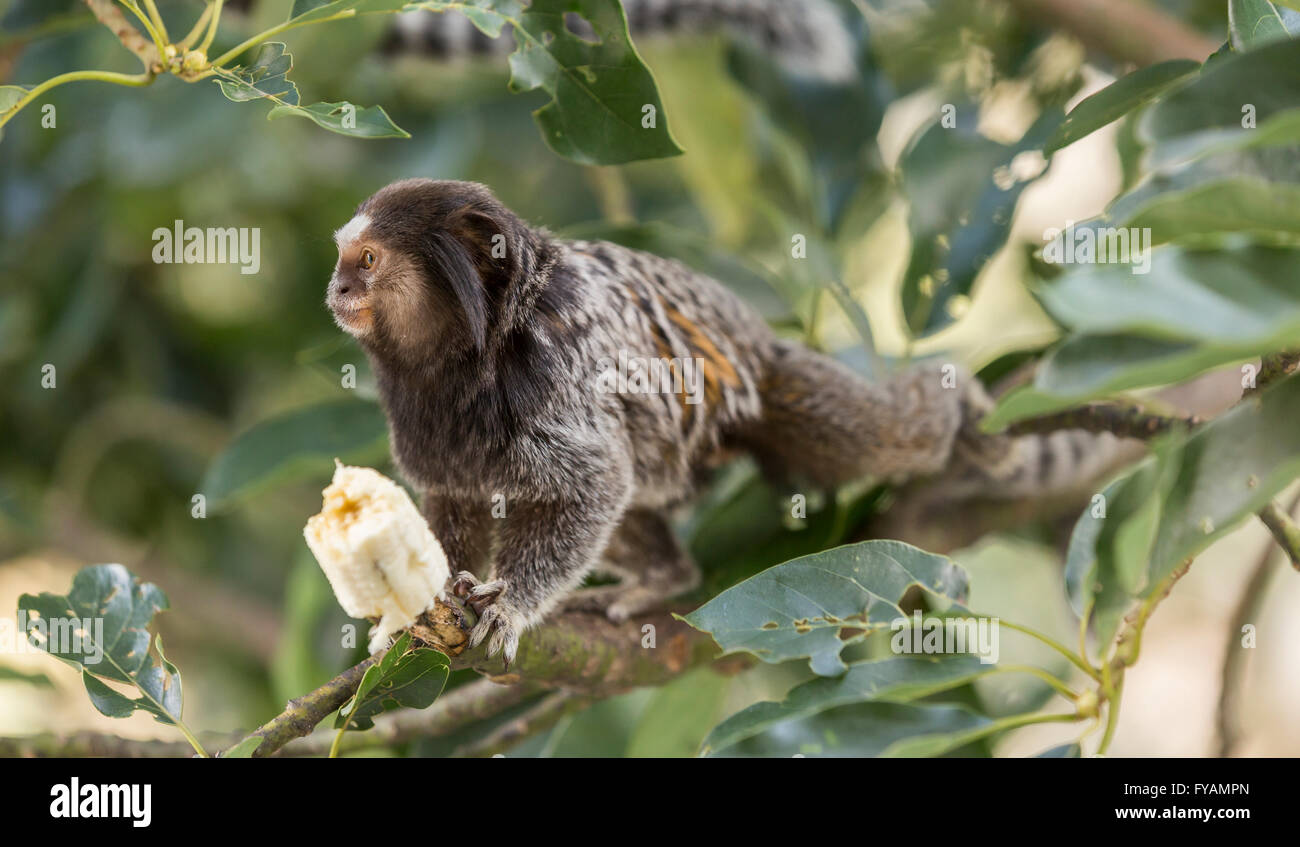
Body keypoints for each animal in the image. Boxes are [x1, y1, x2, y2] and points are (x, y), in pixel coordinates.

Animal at [325, 178, 1121, 666]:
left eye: (366, 260)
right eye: (344, 259)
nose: (334, 288)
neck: (463, 357)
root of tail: (757, 337)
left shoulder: (556, 373)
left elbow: (591, 482)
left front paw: (513, 606)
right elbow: (455, 504)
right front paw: (417, 607)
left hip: (776, 391)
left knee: (891, 436)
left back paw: (953, 408)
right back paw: (663, 575)